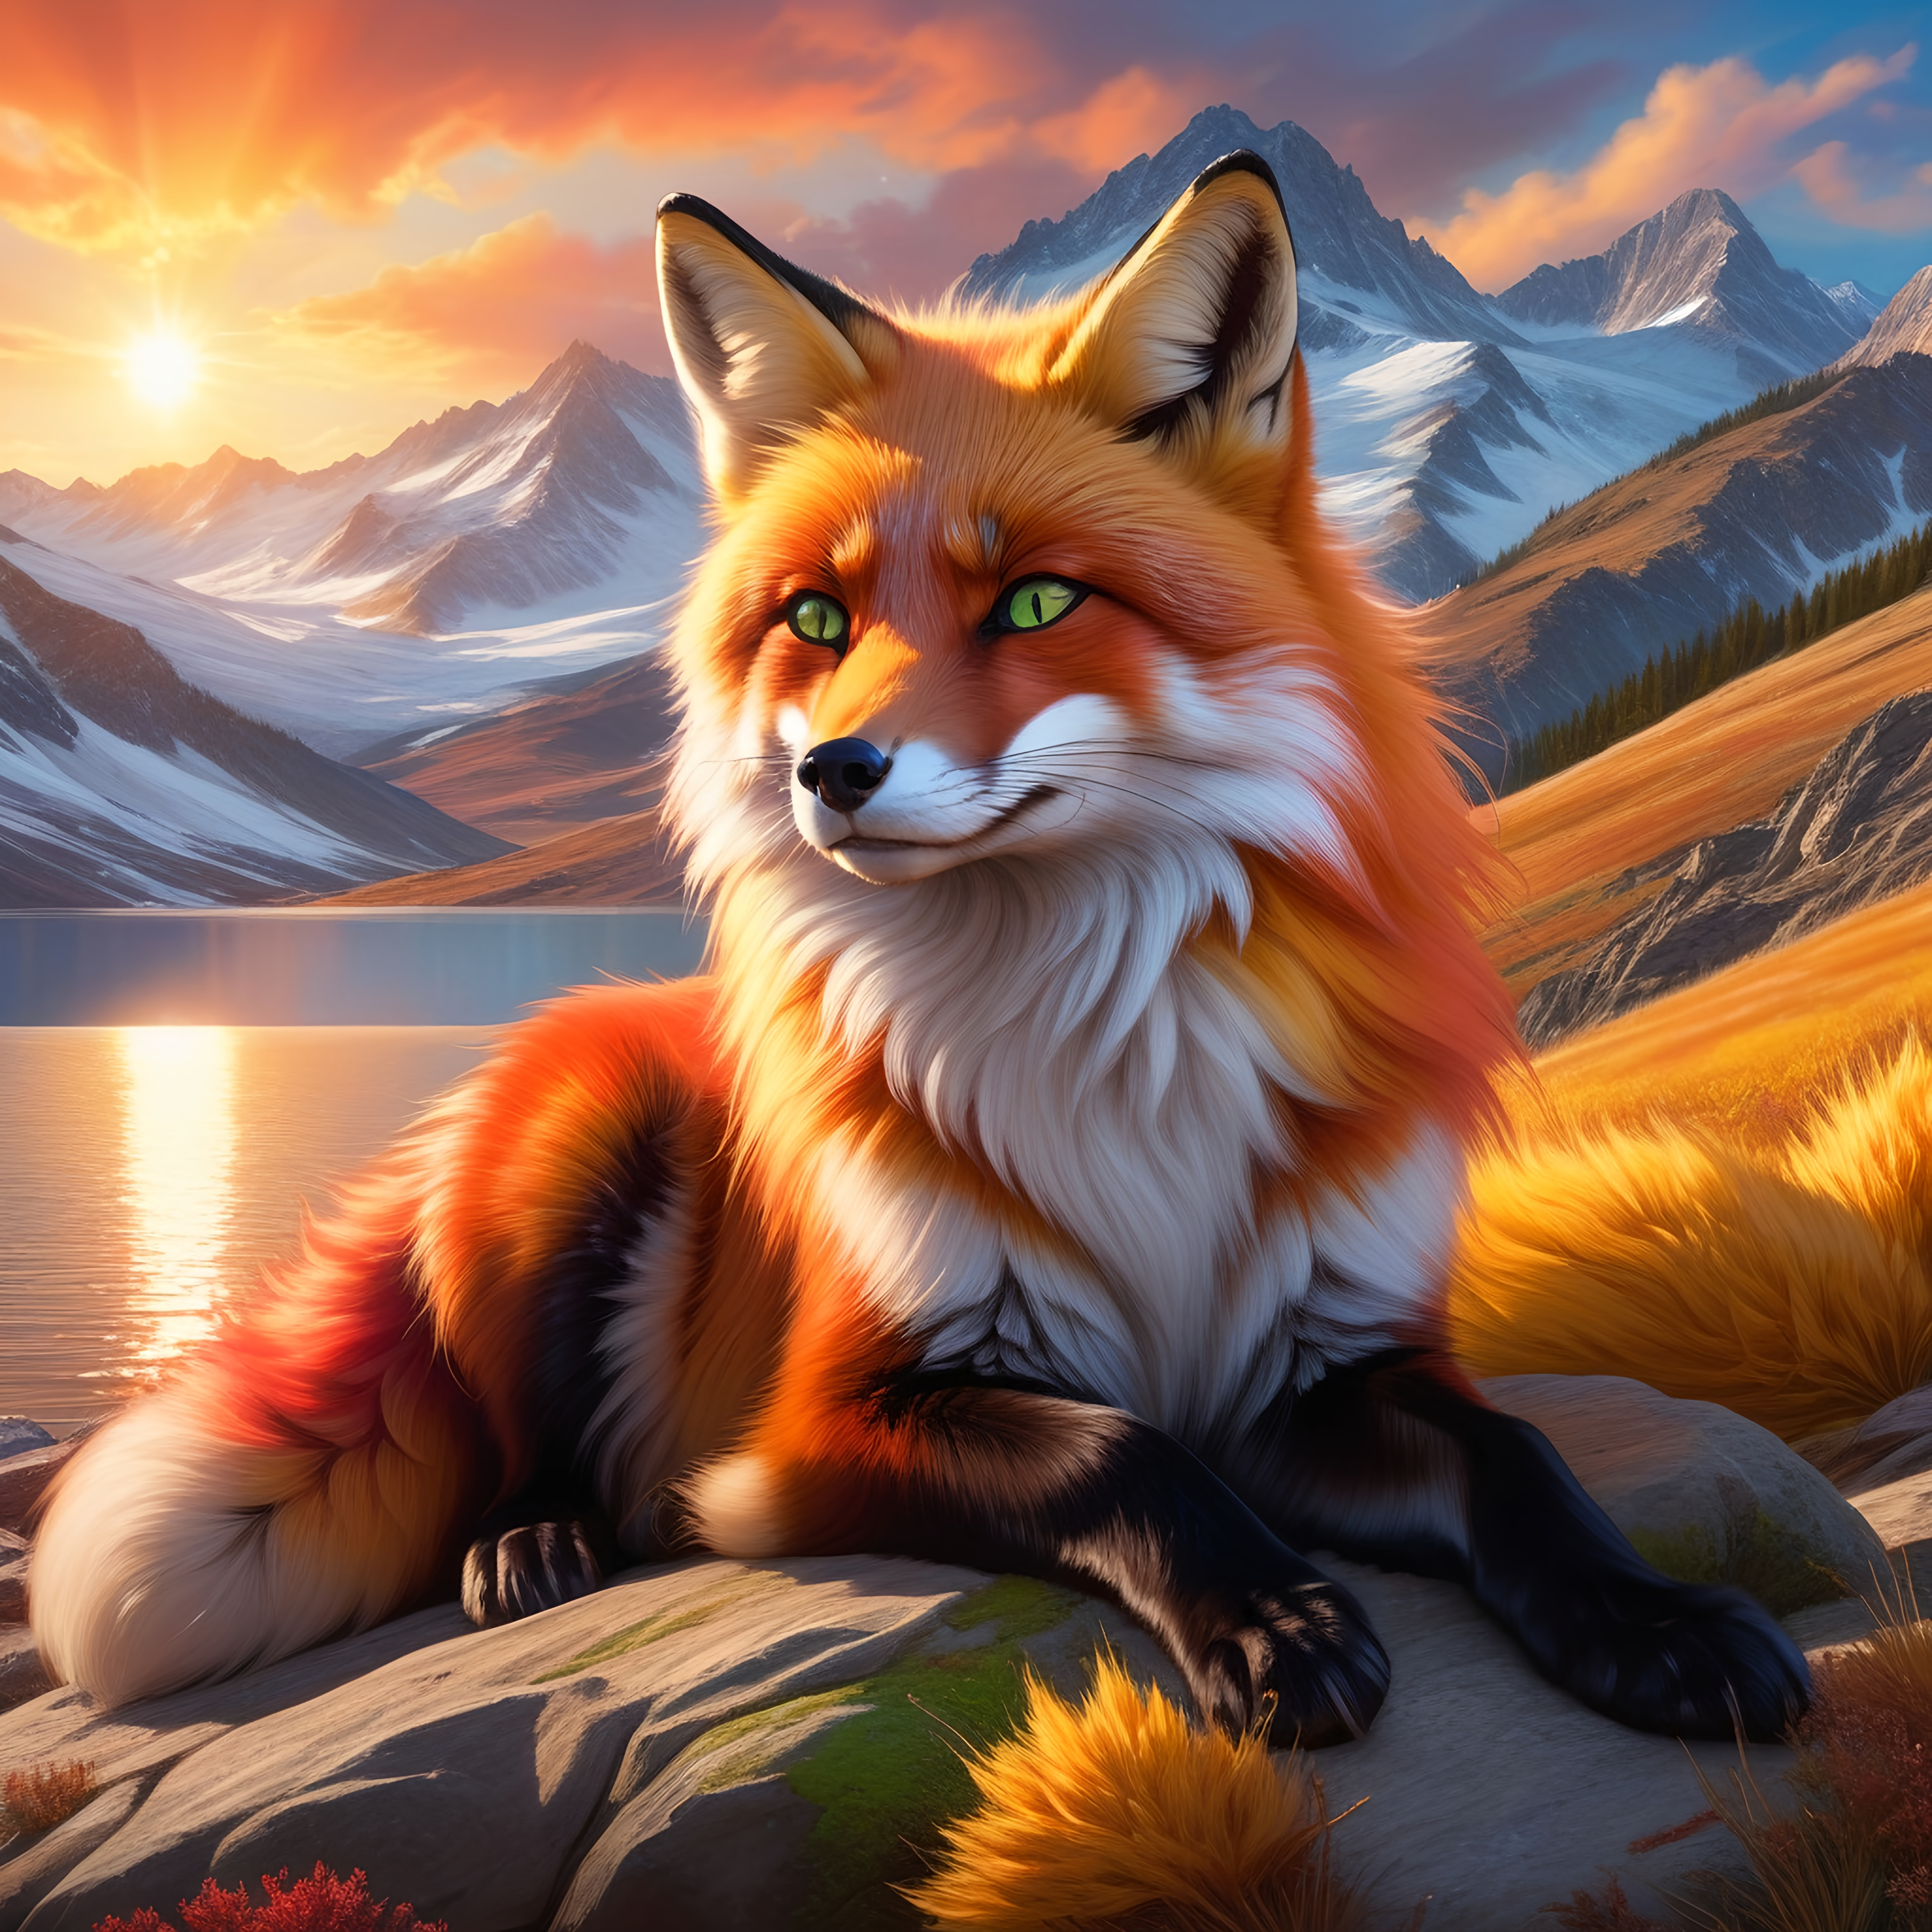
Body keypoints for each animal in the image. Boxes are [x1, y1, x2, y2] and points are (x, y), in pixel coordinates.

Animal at [30, 152, 1809, 1746]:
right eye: (815, 620)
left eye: (1031, 602)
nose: (834, 771)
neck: (1105, 1045)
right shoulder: (827, 1418)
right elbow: (1119, 1452)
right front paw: (1276, 1622)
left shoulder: (1315, 1355)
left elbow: (1518, 1461)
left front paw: (1656, 1621)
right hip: (572, 1160)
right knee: (509, 1434)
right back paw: (533, 1538)